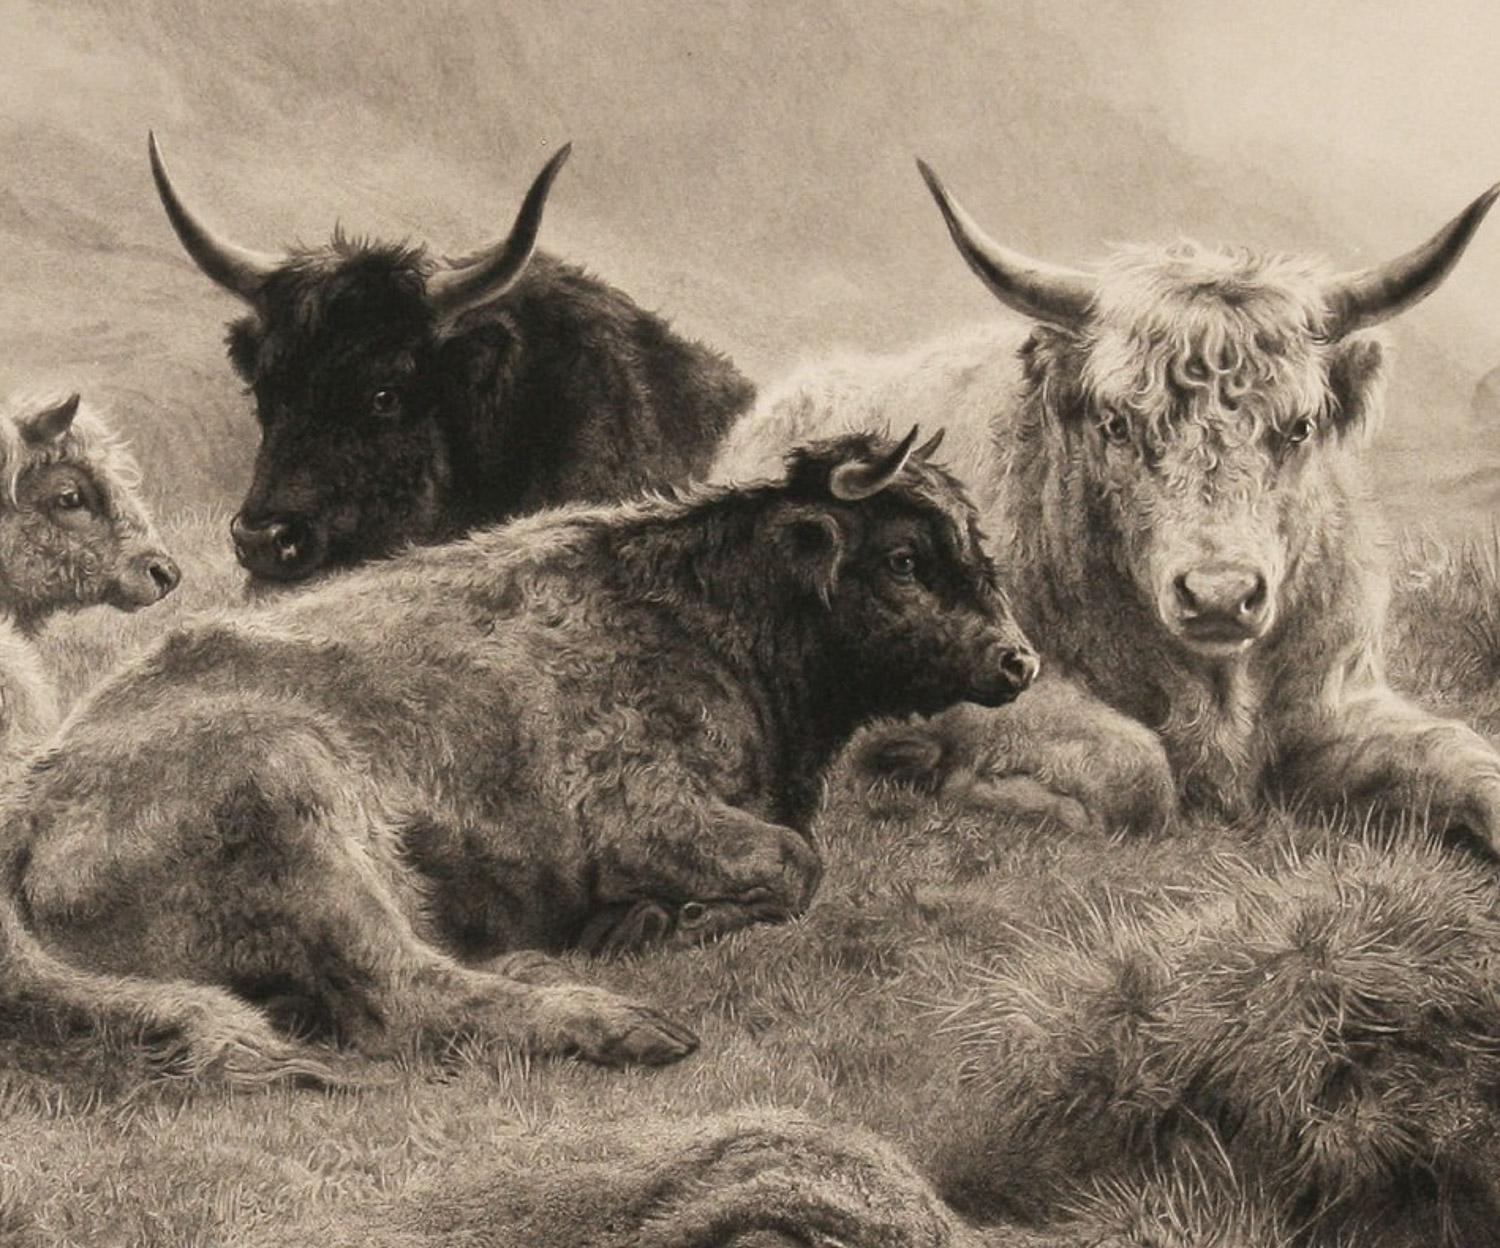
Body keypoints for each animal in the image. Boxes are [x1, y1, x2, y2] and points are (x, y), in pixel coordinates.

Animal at [0, 430, 1035, 1084]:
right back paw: (628, 1022)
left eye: (979, 550)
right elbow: (795, 863)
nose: (1017, 659)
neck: (700, 610)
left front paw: (646, 922)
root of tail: (33, 807)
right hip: (298, 798)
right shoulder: (641, 811)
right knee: (402, 994)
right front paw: (660, 924)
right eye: (905, 559)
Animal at [722, 164, 1500, 852]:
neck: (1215, 684)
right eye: (1118, 423)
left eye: (1301, 426)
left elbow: (1464, 757)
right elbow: (1134, 769)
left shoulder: (1336, 702)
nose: (1220, 596)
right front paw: (962, 778)